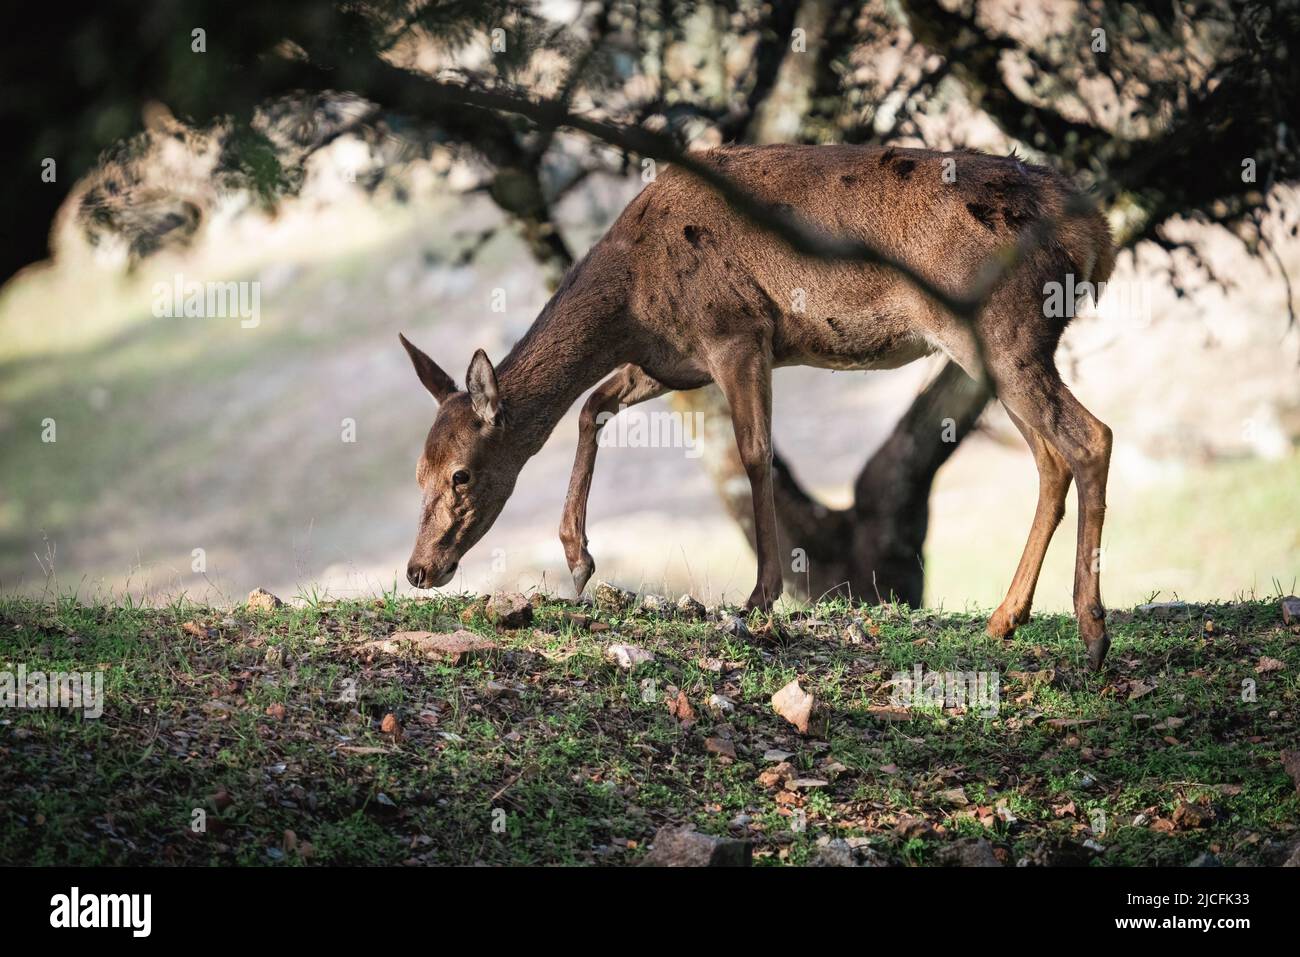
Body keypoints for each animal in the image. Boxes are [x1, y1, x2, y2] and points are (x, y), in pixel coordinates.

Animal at [399, 143, 1117, 669]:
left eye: (462, 474)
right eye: (418, 473)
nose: (418, 568)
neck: (631, 297)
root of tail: (1097, 232)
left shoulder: (736, 332)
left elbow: (753, 454)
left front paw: (760, 598)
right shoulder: (673, 358)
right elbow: (590, 406)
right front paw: (579, 560)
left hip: (1001, 331)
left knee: (1091, 437)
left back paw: (1091, 632)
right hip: (999, 350)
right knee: (1050, 459)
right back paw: (1004, 619)